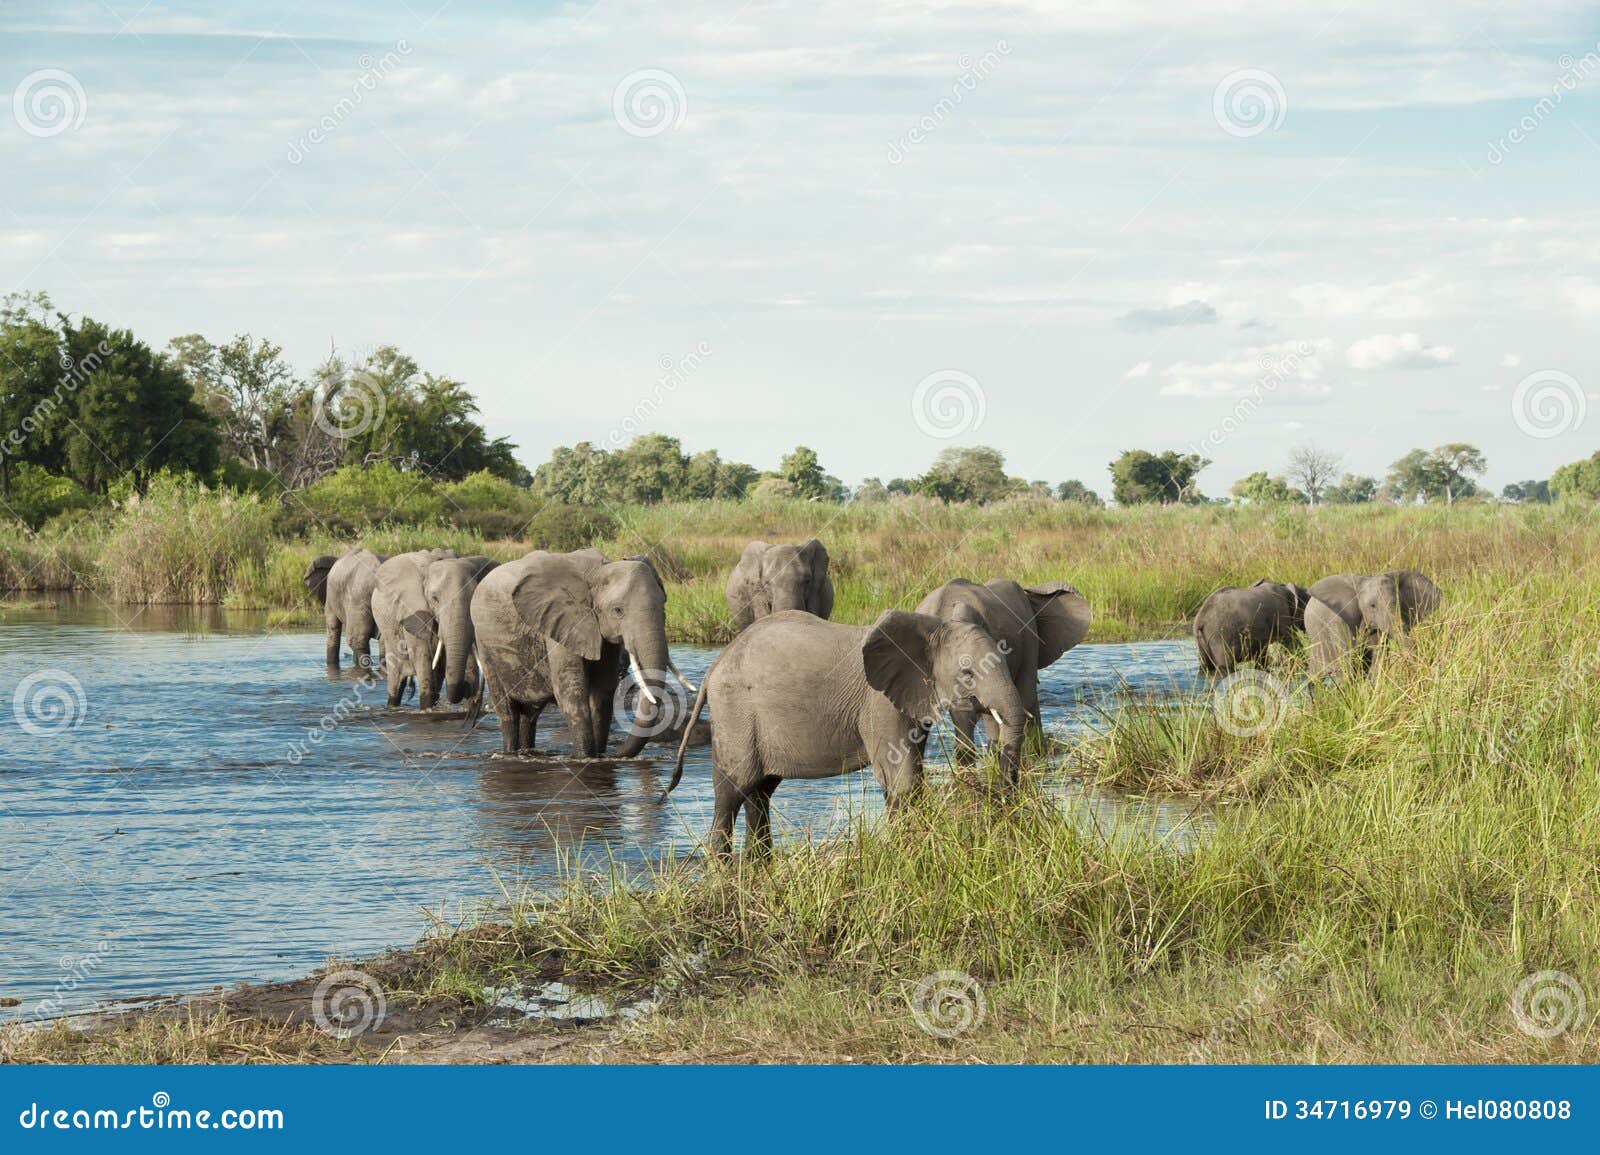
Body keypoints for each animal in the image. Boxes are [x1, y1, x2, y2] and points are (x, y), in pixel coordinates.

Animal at [469, 548, 697, 757]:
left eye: (664, 607)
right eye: (618, 611)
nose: (617, 754)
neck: (598, 571)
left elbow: (603, 692)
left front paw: (598, 756)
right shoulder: (563, 623)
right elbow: (572, 692)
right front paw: (585, 757)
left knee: (530, 715)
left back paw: (527, 751)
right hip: (485, 643)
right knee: (507, 712)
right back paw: (509, 752)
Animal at [666, 609, 1028, 859]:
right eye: (967, 672)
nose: (1005, 804)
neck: (932, 628)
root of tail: (716, 665)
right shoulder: (879, 702)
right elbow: (902, 777)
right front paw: (909, 855)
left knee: (760, 791)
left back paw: (761, 863)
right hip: (735, 712)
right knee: (733, 789)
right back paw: (723, 866)